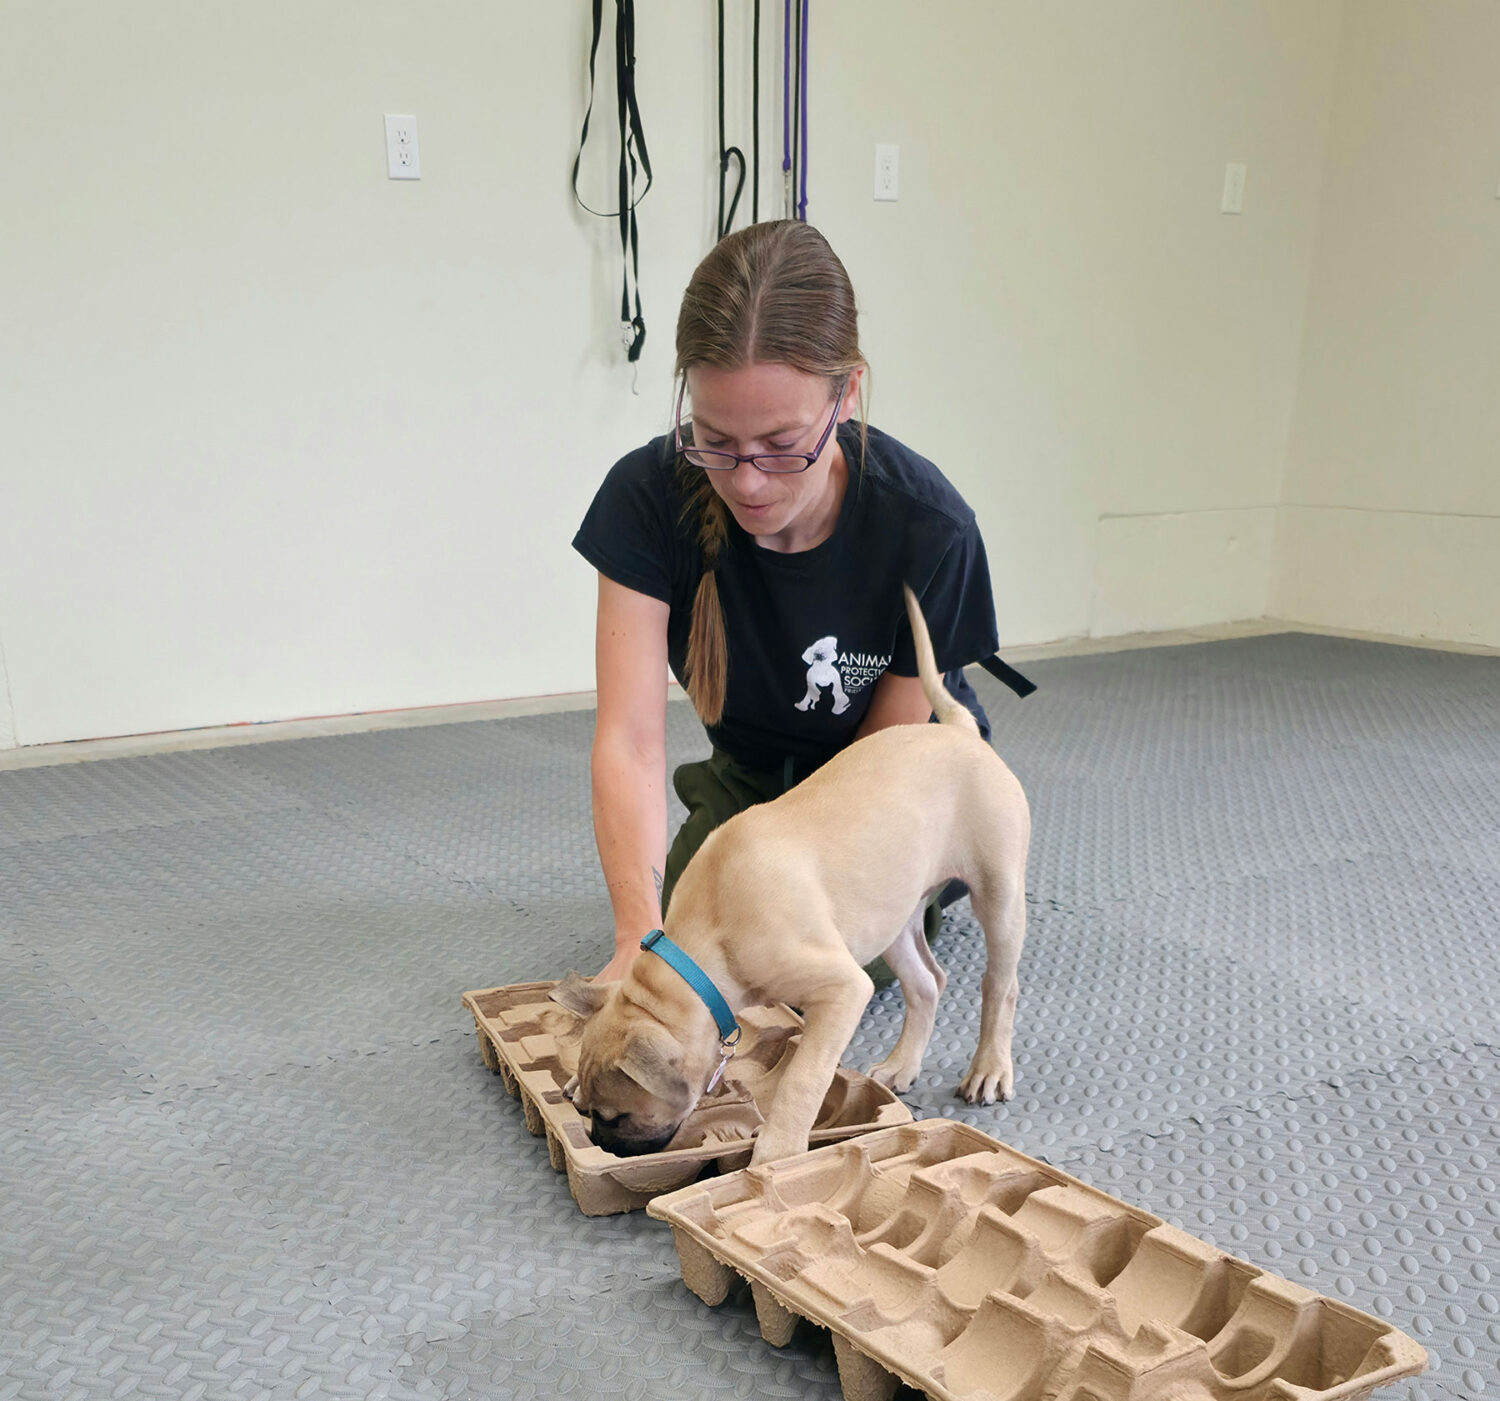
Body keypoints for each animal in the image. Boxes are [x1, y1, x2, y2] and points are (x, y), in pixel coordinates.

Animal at [554, 586, 1031, 1165]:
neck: (704, 948)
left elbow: (804, 1079)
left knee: (1000, 986)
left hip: (998, 894)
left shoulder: (841, 991)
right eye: (587, 1112)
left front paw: (776, 1154)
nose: (604, 1147)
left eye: (616, 1116)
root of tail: (963, 733)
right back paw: (903, 1064)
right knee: (926, 984)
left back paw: (989, 1068)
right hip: (890, 917)